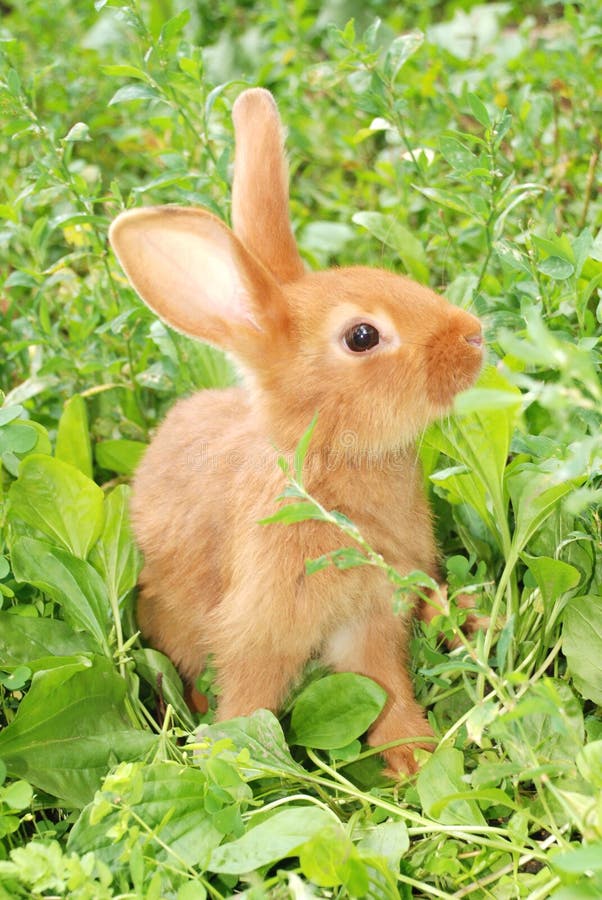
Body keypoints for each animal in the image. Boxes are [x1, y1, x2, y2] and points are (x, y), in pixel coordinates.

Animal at [109, 87, 484, 776]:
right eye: (362, 336)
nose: (473, 336)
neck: (325, 469)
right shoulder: (259, 632)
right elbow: (249, 701)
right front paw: (228, 763)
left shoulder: (371, 620)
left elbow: (386, 689)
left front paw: (416, 760)